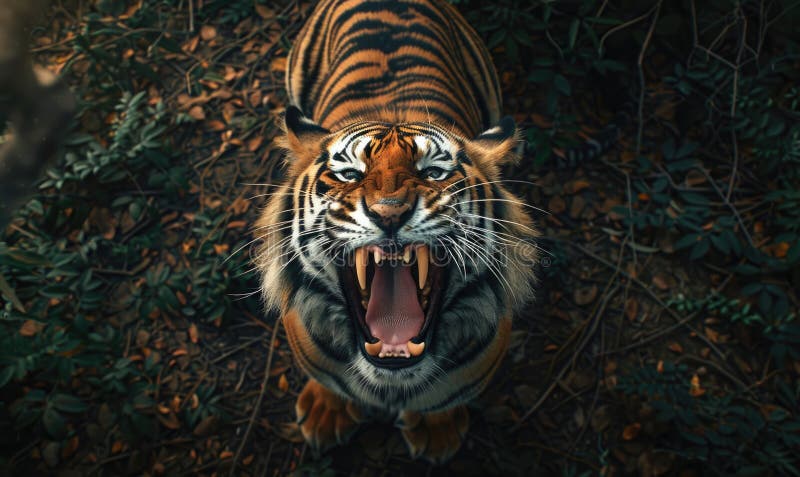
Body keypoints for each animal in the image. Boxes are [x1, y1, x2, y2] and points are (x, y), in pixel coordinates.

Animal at [256, 0, 538, 462]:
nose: (389, 212)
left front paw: (438, 433)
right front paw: (324, 415)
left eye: (434, 173)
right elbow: (331, 380)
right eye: (349, 174)